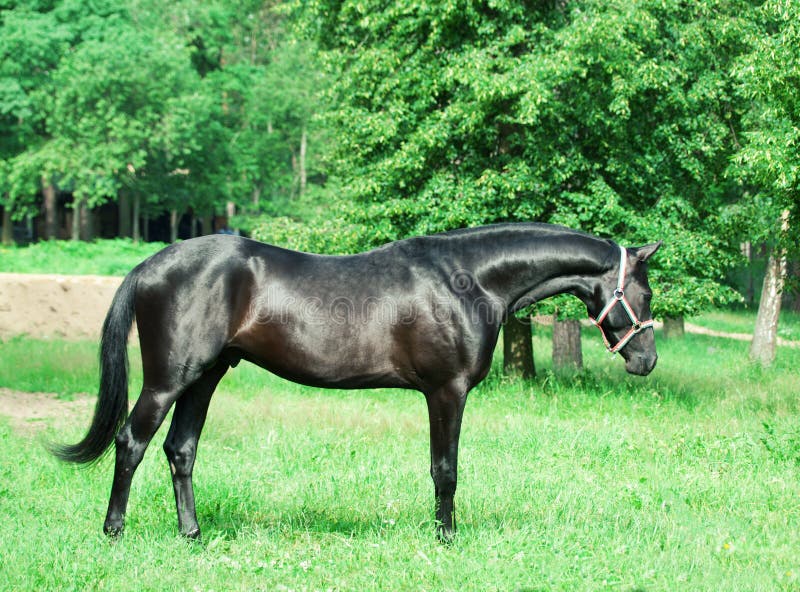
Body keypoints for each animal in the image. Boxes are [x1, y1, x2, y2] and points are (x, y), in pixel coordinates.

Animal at [54, 222, 661, 541]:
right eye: (647, 293)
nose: (646, 361)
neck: (467, 280)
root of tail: (149, 266)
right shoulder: (446, 390)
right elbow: (446, 470)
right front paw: (447, 538)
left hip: (204, 378)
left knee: (180, 450)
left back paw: (192, 536)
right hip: (169, 380)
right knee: (131, 442)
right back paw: (114, 531)